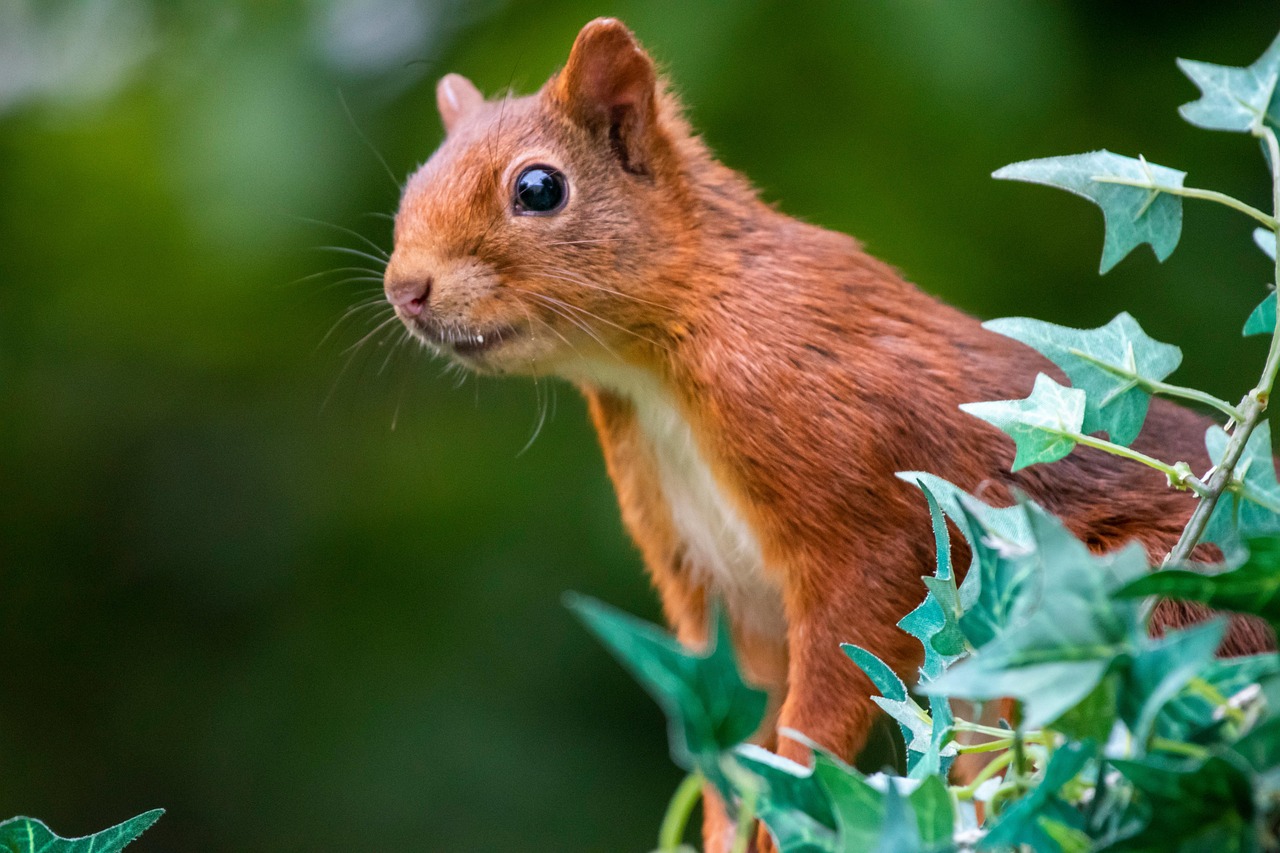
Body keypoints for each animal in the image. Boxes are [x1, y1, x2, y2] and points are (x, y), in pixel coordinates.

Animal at [383, 18, 1275, 852]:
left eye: (539, 188)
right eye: (415, 180)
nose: (405, 288)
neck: (657, 363)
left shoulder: (843, 486)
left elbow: (832, 676)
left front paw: (793, 809)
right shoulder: (713, 582)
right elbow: (734, 723)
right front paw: (728, 827)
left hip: (1145, 605)